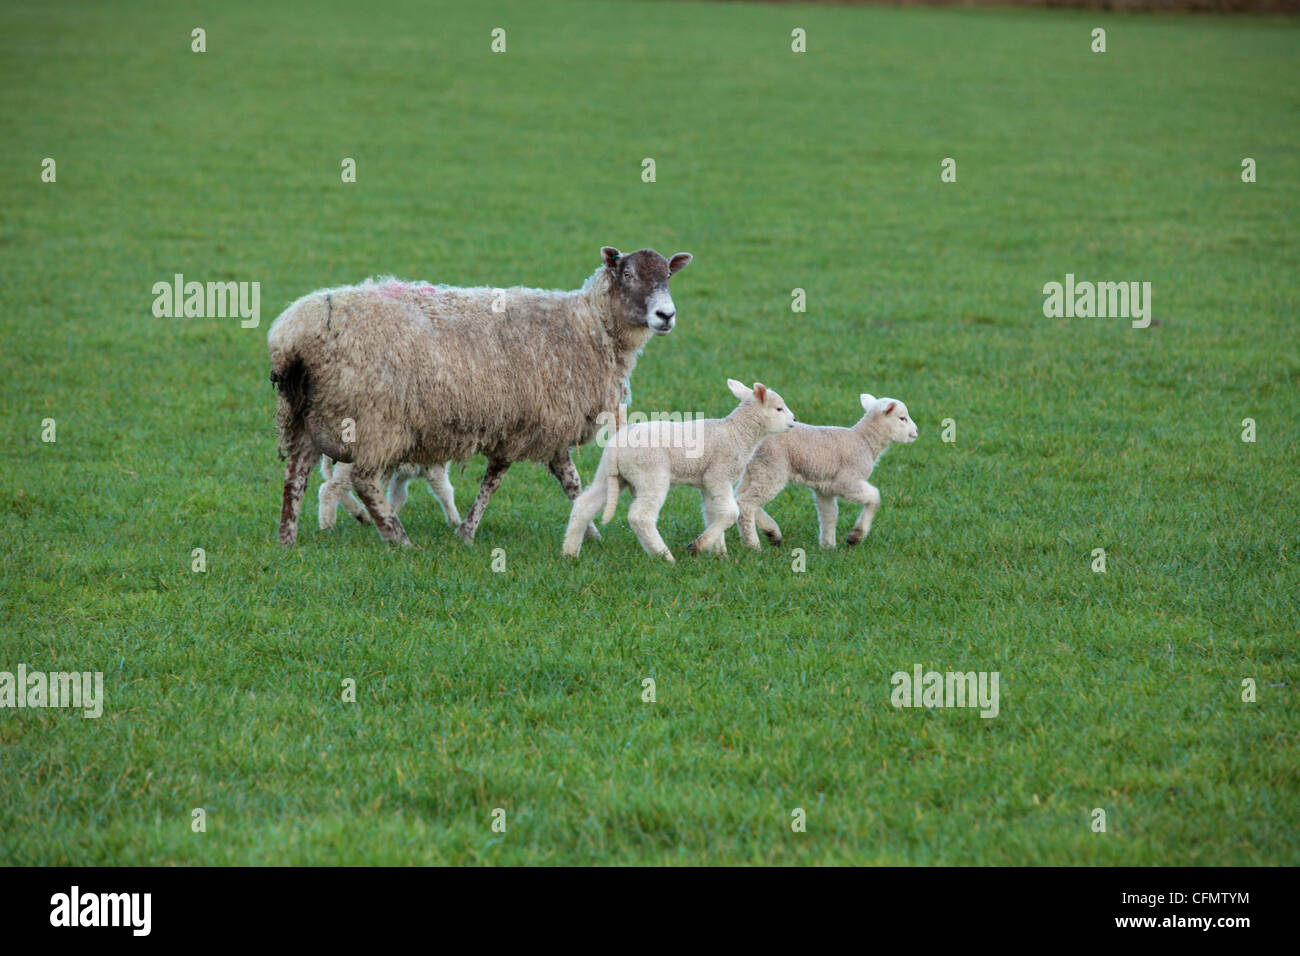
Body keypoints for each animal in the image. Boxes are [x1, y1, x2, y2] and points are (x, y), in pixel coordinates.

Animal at [317, 458, 460, 530]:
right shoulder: (435, 467)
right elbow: (446, 492)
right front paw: (455, 521)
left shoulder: (401, 476)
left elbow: (398, 496)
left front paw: (389, 519)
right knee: (329, 489)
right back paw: (327, 525)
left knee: (337, 488)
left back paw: (361, 516)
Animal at [562, 379, 796, 562]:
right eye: (779, 409)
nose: (794, 421)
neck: (737, 433)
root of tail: (615, 449)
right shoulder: (718, 475)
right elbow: (730, 512)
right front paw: (698, 546)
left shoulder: (707, 483)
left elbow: (713, 513)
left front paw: (719, 553)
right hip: (651, 475)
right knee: (640, 517)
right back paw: (664, 556)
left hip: (609, 475)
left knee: (584, 505)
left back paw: (570, 553)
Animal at [736, 394, 917, 551]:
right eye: (902, 418)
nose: (916, 432)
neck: (865, 441)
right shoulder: (846, 481)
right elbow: (875, 497)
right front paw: (855, 537)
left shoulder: (825, 489)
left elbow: (829, 514)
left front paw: (828, 546)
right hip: (772, 469)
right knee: (746, 503)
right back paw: (753, 545)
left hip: (755, 470)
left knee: (739, 499)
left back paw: (771, 532)